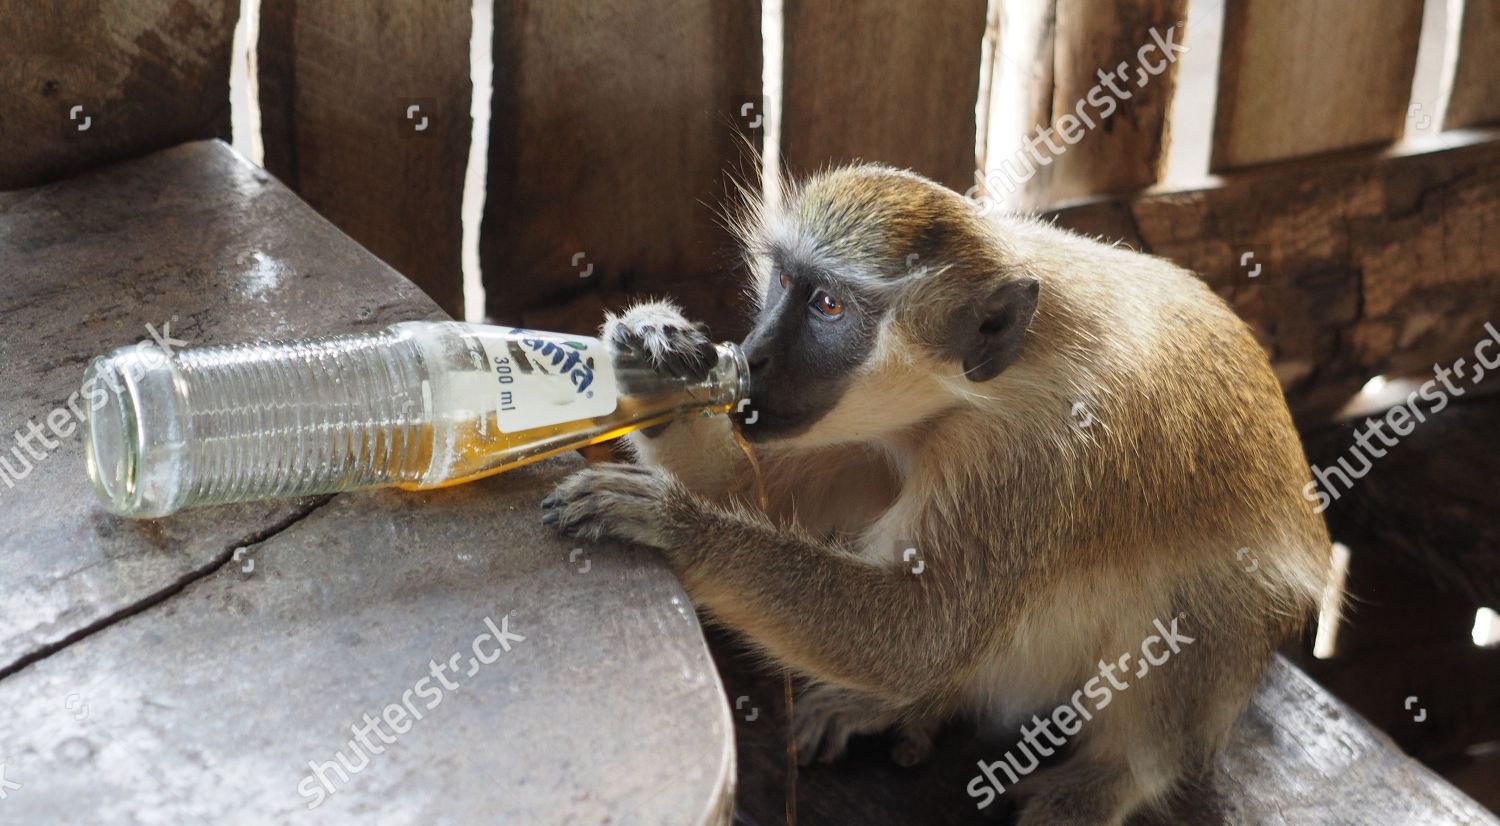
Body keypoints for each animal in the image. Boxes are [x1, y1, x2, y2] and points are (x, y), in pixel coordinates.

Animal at [540, 163, 1331, 825]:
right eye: (784, 284)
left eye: (828, 306)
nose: (754, 355)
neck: (977, 393)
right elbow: (750, 492)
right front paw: (654, 345)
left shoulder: (1029, 458)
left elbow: (922, 637)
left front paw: (677, 526)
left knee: (1207, 605)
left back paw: (1114, 777)